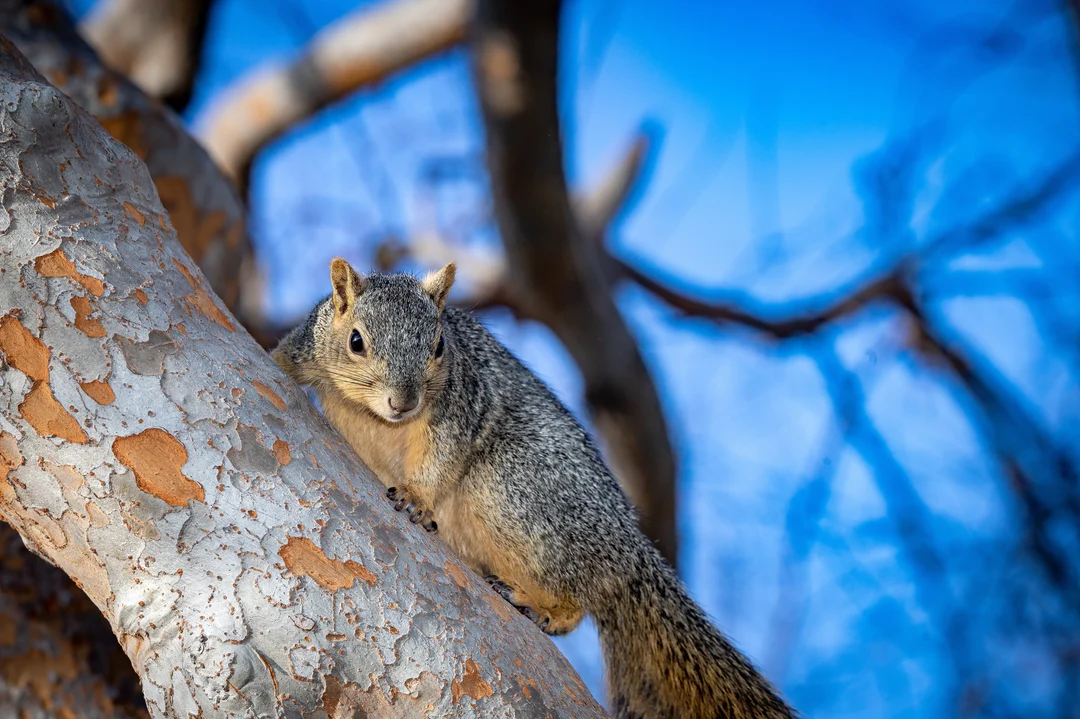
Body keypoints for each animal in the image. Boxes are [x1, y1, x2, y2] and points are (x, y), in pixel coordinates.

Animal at [272, 258, 797, 719]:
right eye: (356, 341)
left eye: (439, 347)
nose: (404, 401)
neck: (375, 417)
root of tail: (629, 554)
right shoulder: (307, 346)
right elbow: (283, 359)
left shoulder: (459, 406)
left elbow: (441, 461)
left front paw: (418, 497)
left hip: (513, 490)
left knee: (576, 602)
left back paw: (539, 605)